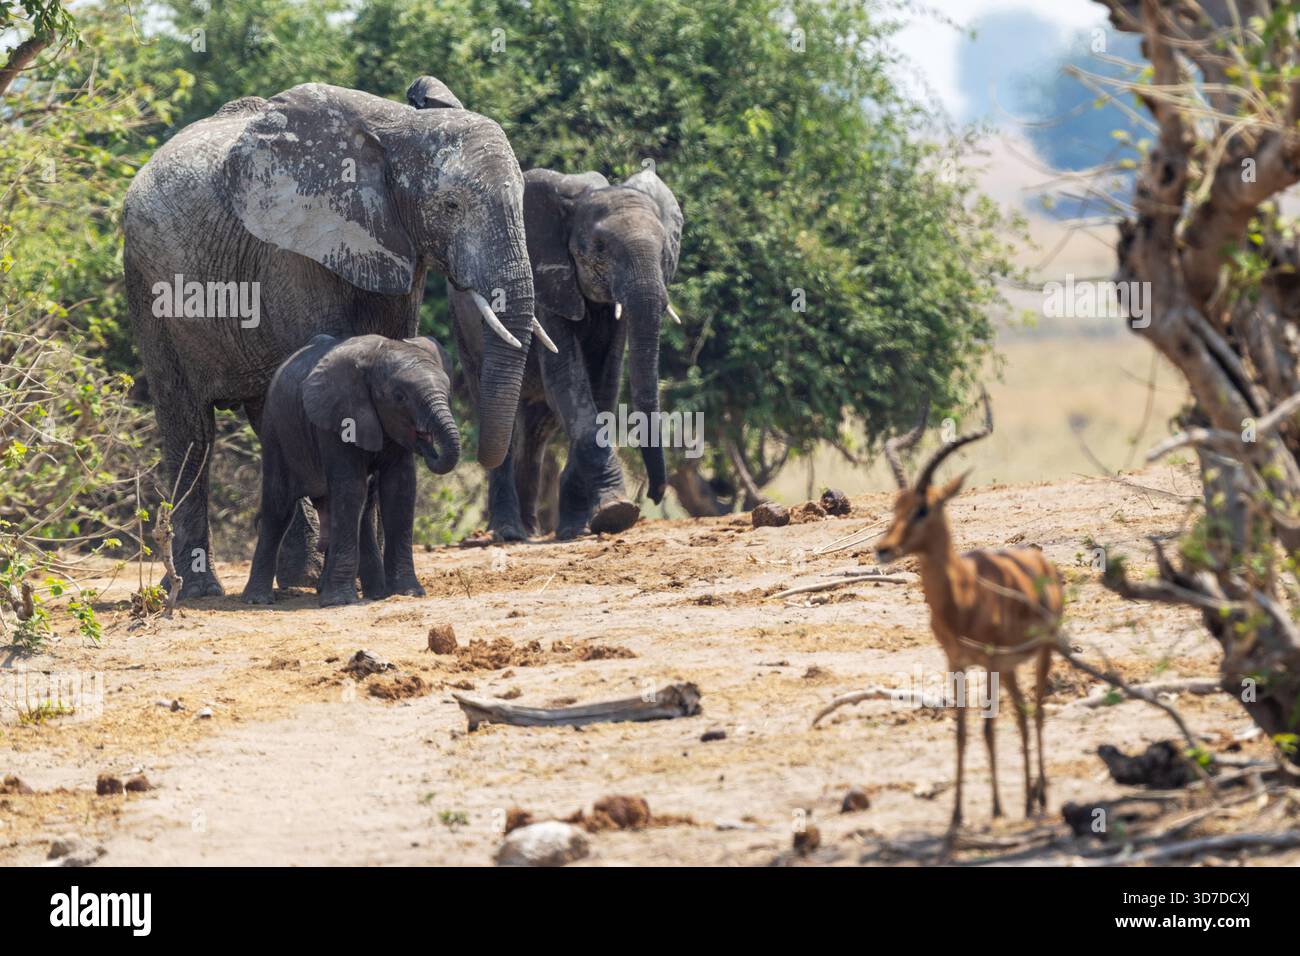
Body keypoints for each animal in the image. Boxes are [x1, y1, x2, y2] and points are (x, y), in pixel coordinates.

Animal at [242, 334, 459, 608]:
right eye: (399, 397)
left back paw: (369, 592)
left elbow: (399, 489)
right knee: (278, 508)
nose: (427, 442)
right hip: (275, 430)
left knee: (359, 508)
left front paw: (408, 593)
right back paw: (257, 600)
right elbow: (350, 488)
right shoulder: (336, 419)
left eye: (449, 391)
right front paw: (340, 601)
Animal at [448, 167, 684, 541]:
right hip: (463, 325)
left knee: (536, 431)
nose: (654, 494)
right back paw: (509, 532)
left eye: (664, 250)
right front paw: (617, 512)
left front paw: (583, 526)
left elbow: (604, 385)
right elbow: (568, 380)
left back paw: (531, 529)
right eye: (599, 248)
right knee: (499, 412)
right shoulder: (548, 286)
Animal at [875, 389, 1063, 834]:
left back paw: (1039, 800)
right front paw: (957, 816)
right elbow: (962, 732)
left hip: (1040, 654)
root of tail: (1041, 563)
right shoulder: (957, 661)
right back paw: (1027, 799)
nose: (883, 549)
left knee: (1037, 713)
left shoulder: (990, 661)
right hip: (1010, 668)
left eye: (923, 509)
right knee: (1023, 715)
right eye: (896, 505)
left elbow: (988, 728)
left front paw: (994, 809)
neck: (963, 595)